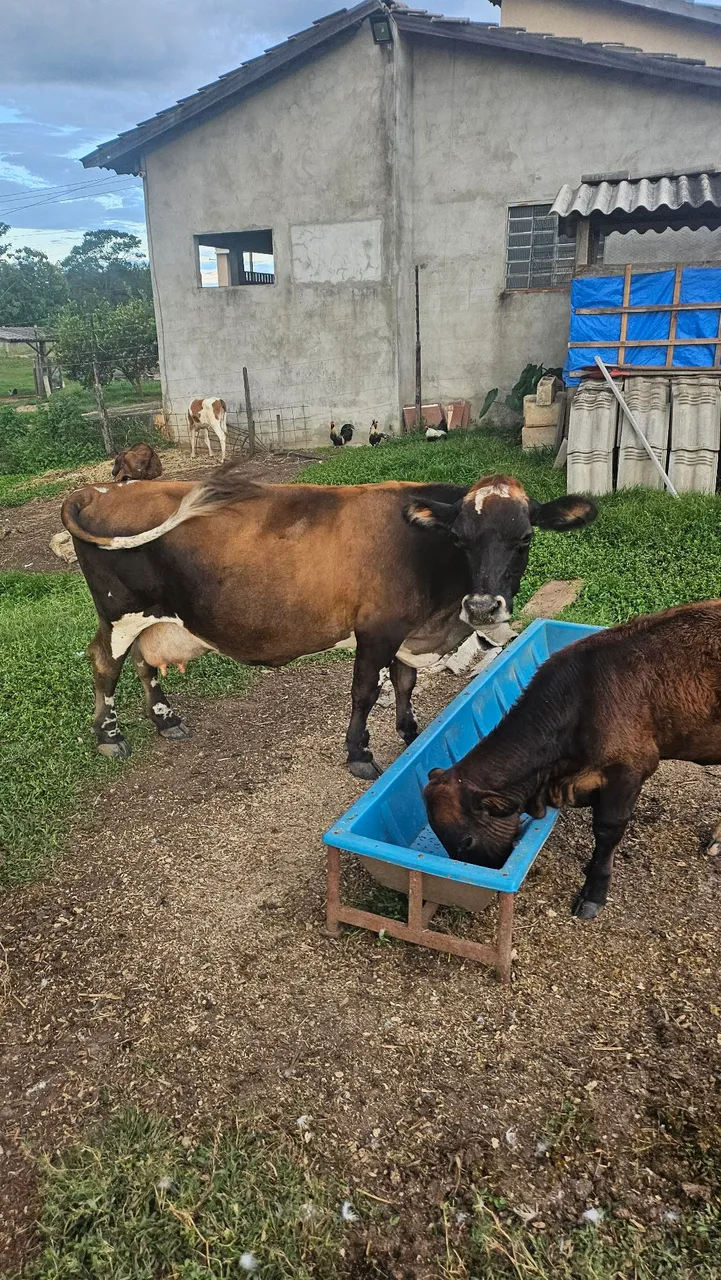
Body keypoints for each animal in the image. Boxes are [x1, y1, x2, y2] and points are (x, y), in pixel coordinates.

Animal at [60, 470, 596, 777]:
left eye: (525, 538)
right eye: (460, 539)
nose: (484, 607)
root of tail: (100, 490)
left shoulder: (406, 629)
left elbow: (405, 682)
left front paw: (410, 731)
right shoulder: (377, 628)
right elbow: (366, 692)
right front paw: (359, 754)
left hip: (152, 617)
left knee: (144, 663)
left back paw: (165, 719)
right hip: (120, 611)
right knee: (104, 663)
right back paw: (109, 737)